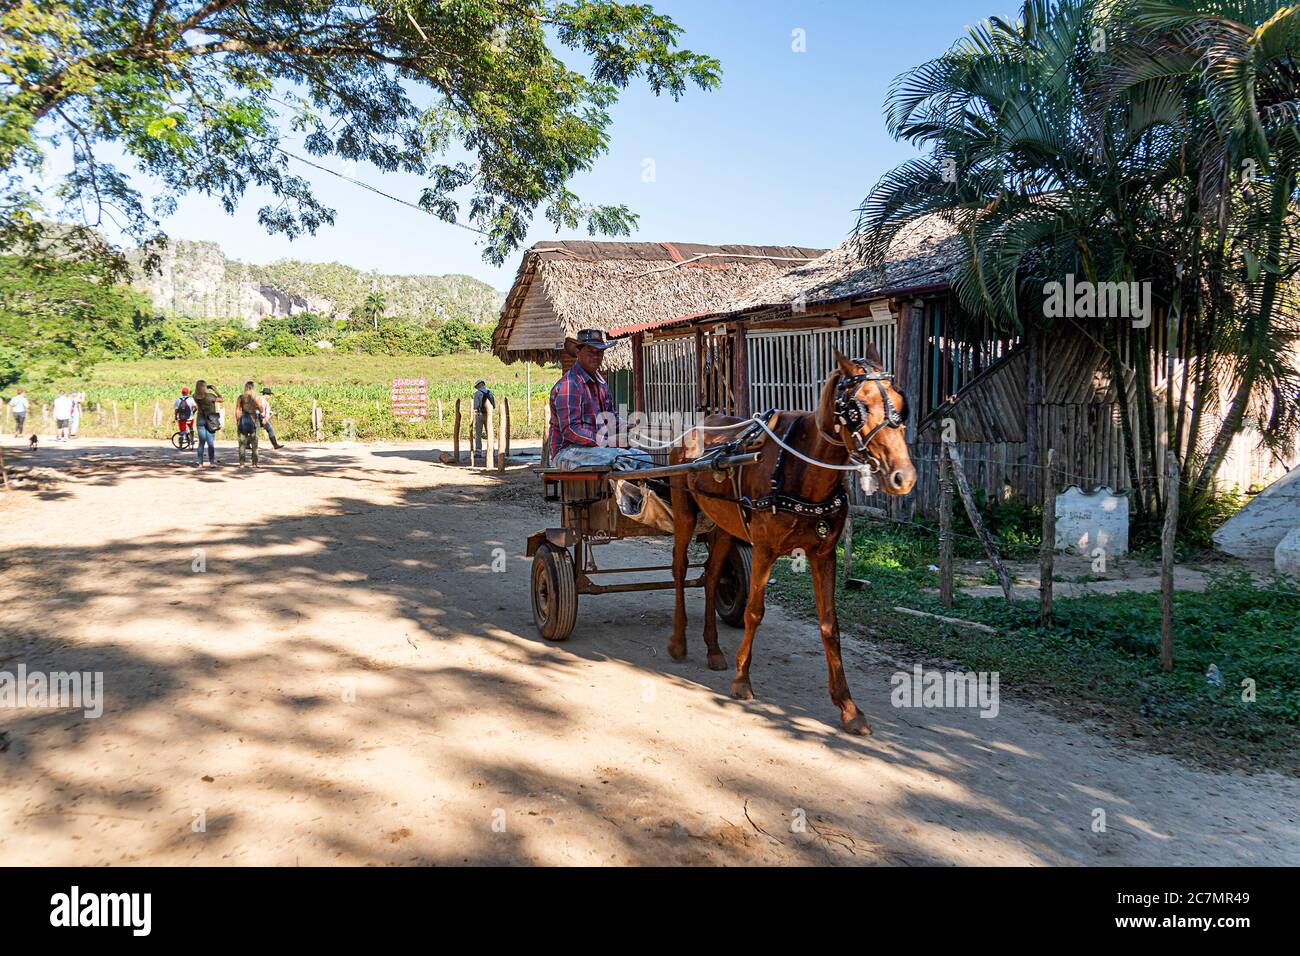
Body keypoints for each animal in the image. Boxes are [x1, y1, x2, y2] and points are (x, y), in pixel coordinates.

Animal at [665, 346, 916, 735]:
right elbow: (753, 612)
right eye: (857, 407)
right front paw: (742, 680)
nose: (903, 477)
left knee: (710, 576)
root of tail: (694, 430)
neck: (803, 470)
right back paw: (679, 640)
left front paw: (848, 706)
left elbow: (830, 625)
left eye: (902, 405)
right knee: (679, 570)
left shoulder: (824, 553)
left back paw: (713, 649)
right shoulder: (765, 549)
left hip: (725, 526)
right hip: (685, 511)